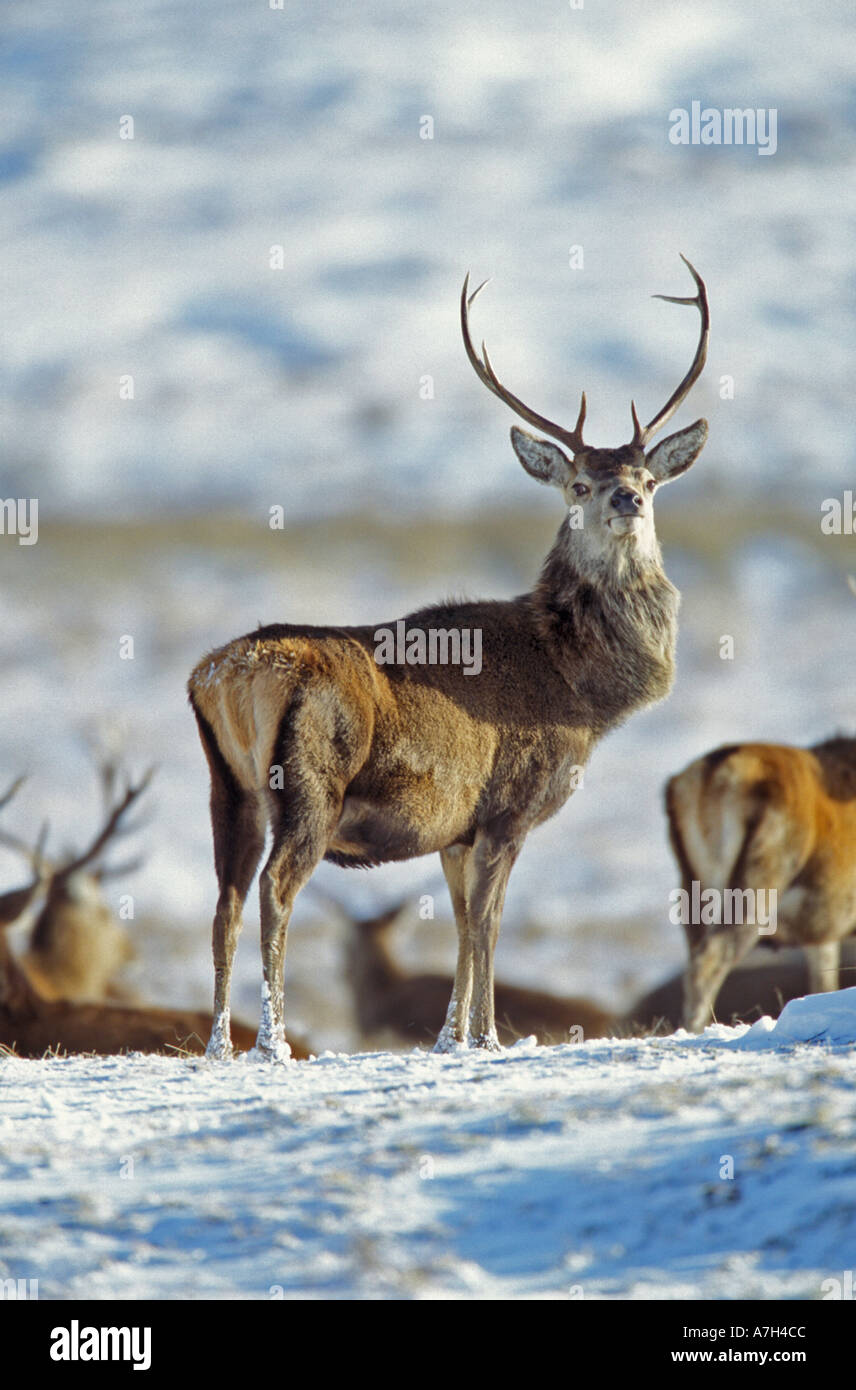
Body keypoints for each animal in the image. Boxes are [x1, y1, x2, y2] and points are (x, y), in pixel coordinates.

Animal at [188, 256, 710, 1061]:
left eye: (649, 478)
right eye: (578, 483)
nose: (627, 499)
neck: (580, 690)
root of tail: (224, 675)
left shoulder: (454, 826)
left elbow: (462, 923)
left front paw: (449, 1037)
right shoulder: (509, 804)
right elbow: (489, 922)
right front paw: (489, 1036)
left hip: (228, 786)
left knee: (225, 899)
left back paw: (219, 1045)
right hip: (308, 782)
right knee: (276, 890)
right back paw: (271, 1041)